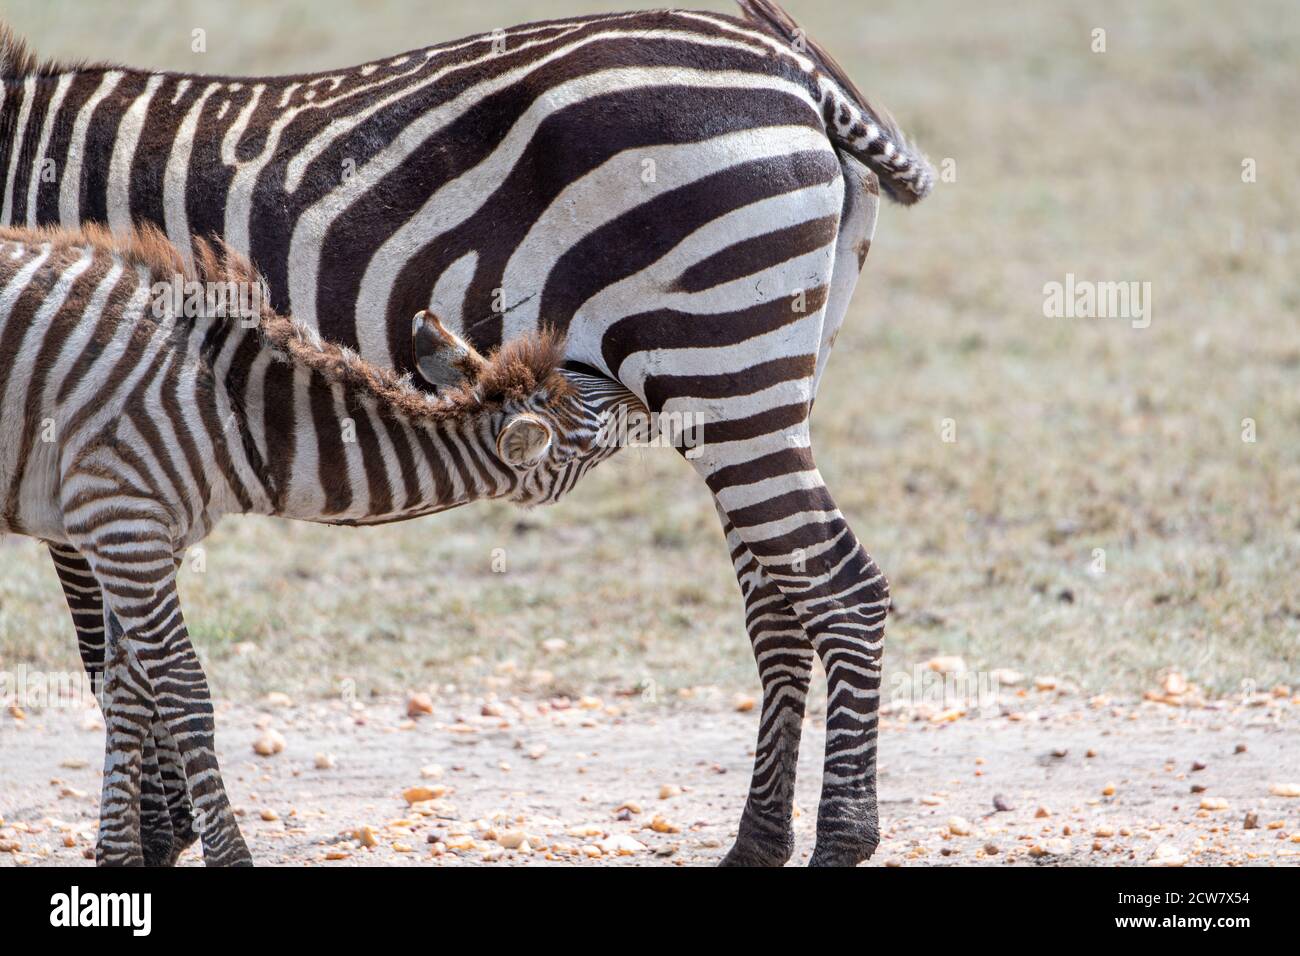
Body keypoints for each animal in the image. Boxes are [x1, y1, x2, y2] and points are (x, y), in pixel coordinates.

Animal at [0, 221, 637, 865]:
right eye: (597, 435)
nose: (644, 396)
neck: (233, 414)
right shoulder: (120, 516)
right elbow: (182, 691)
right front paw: (229, 854)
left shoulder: (147, 537)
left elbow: (127, 690)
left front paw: (120, 853)